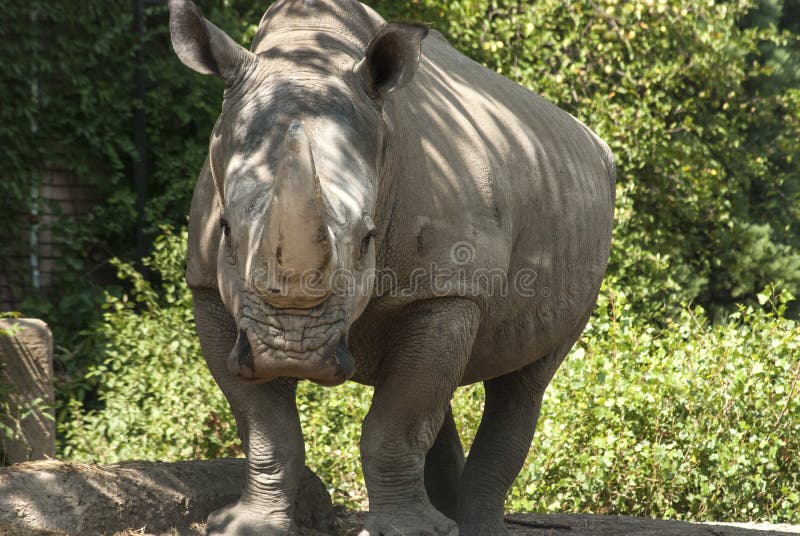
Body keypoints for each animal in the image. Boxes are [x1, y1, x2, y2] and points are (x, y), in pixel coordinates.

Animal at [170, 0, 615, 534]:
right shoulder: (207, 287)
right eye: (226, 231)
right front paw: (246, 527)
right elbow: (266, 430)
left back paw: (473, 524)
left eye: (367, 239)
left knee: (524, 381)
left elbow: (395, 424)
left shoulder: (447, 287)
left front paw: (407, 531)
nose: (291, 353)